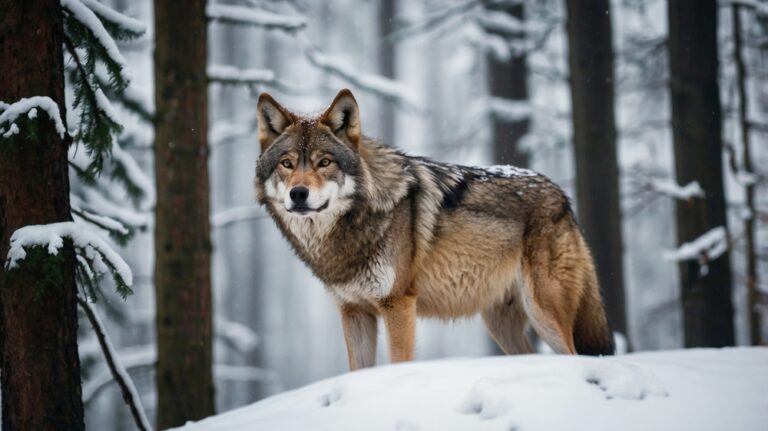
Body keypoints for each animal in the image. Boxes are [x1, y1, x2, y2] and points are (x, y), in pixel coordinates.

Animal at [254, 89, 615, 370]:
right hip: (500, 324)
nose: (298, 194)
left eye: (324, 162)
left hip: (543, 312)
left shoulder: (398, 304)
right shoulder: (354, 312)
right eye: (287, 164)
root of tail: (563, 197)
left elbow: (398, 362)